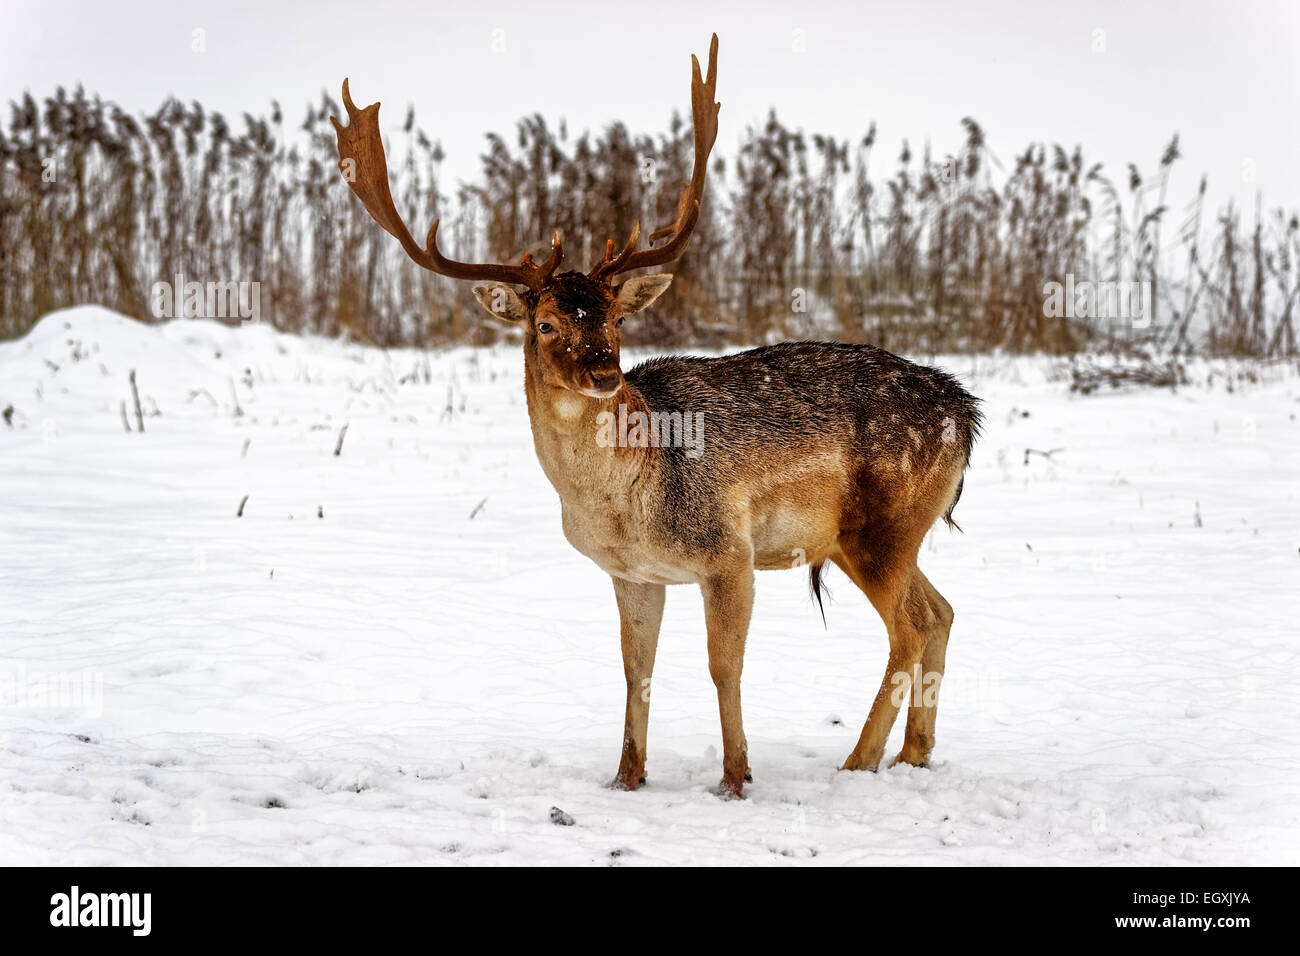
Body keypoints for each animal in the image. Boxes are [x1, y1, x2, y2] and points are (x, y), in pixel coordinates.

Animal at [332, 33, 982, 798]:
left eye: (614, 316)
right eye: (546, 324)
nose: (604, 373)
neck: (623, 501)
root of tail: (966, 412)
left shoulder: (727, 551)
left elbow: (722, 666)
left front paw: (735, 776)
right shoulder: (632, 573)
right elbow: (634, 668)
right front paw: (626, 775)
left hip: (881, 524)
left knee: (908, 627)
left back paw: (858, 760)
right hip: (880, 535)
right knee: (939, 611)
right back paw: (913, 754)